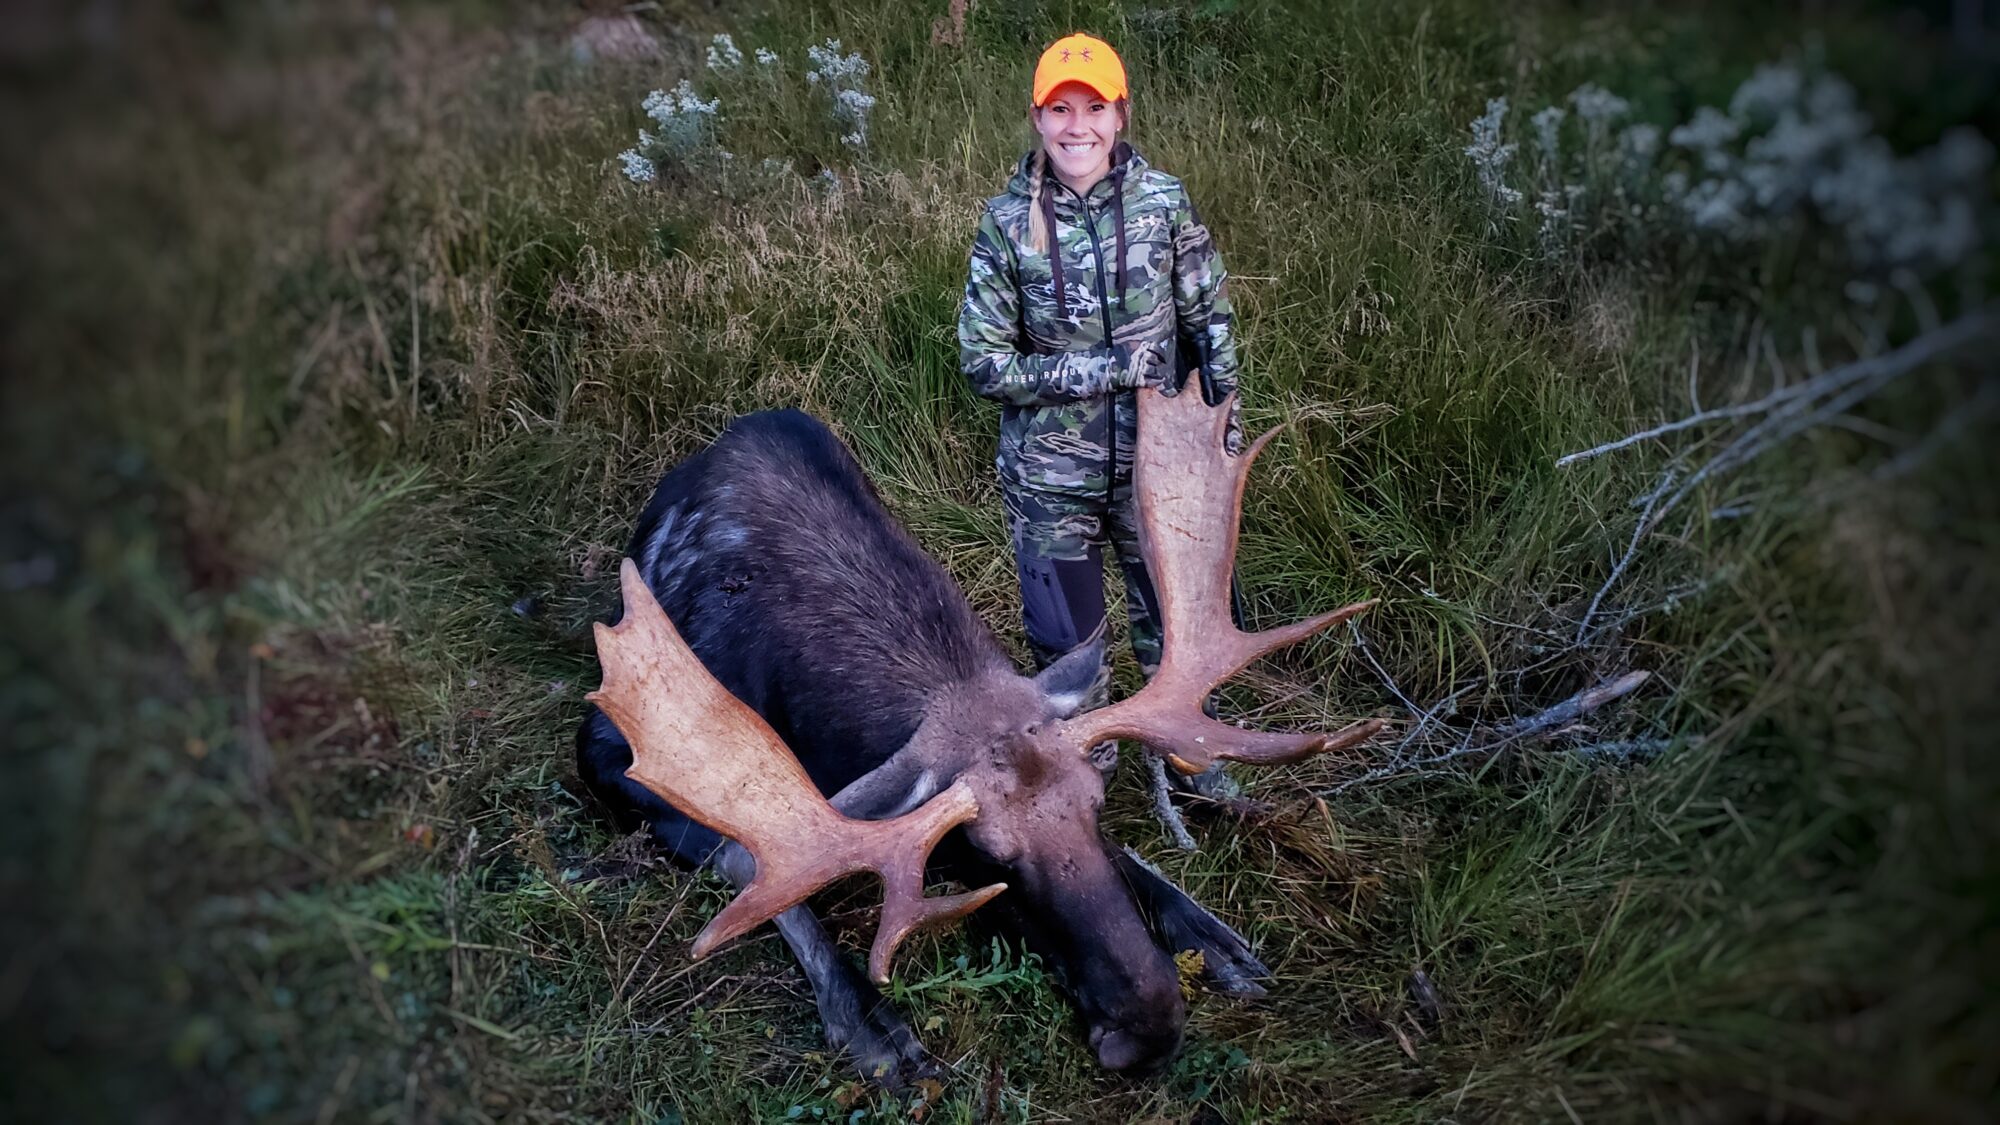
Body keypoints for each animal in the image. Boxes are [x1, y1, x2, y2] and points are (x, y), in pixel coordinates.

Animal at [576, 380, 1382, 1081]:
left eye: (1097, 805)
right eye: (985, 853)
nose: (1149, 1029)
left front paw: (1207, 932)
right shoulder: (608, 757)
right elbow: (754, 871)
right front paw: (870, 1021)